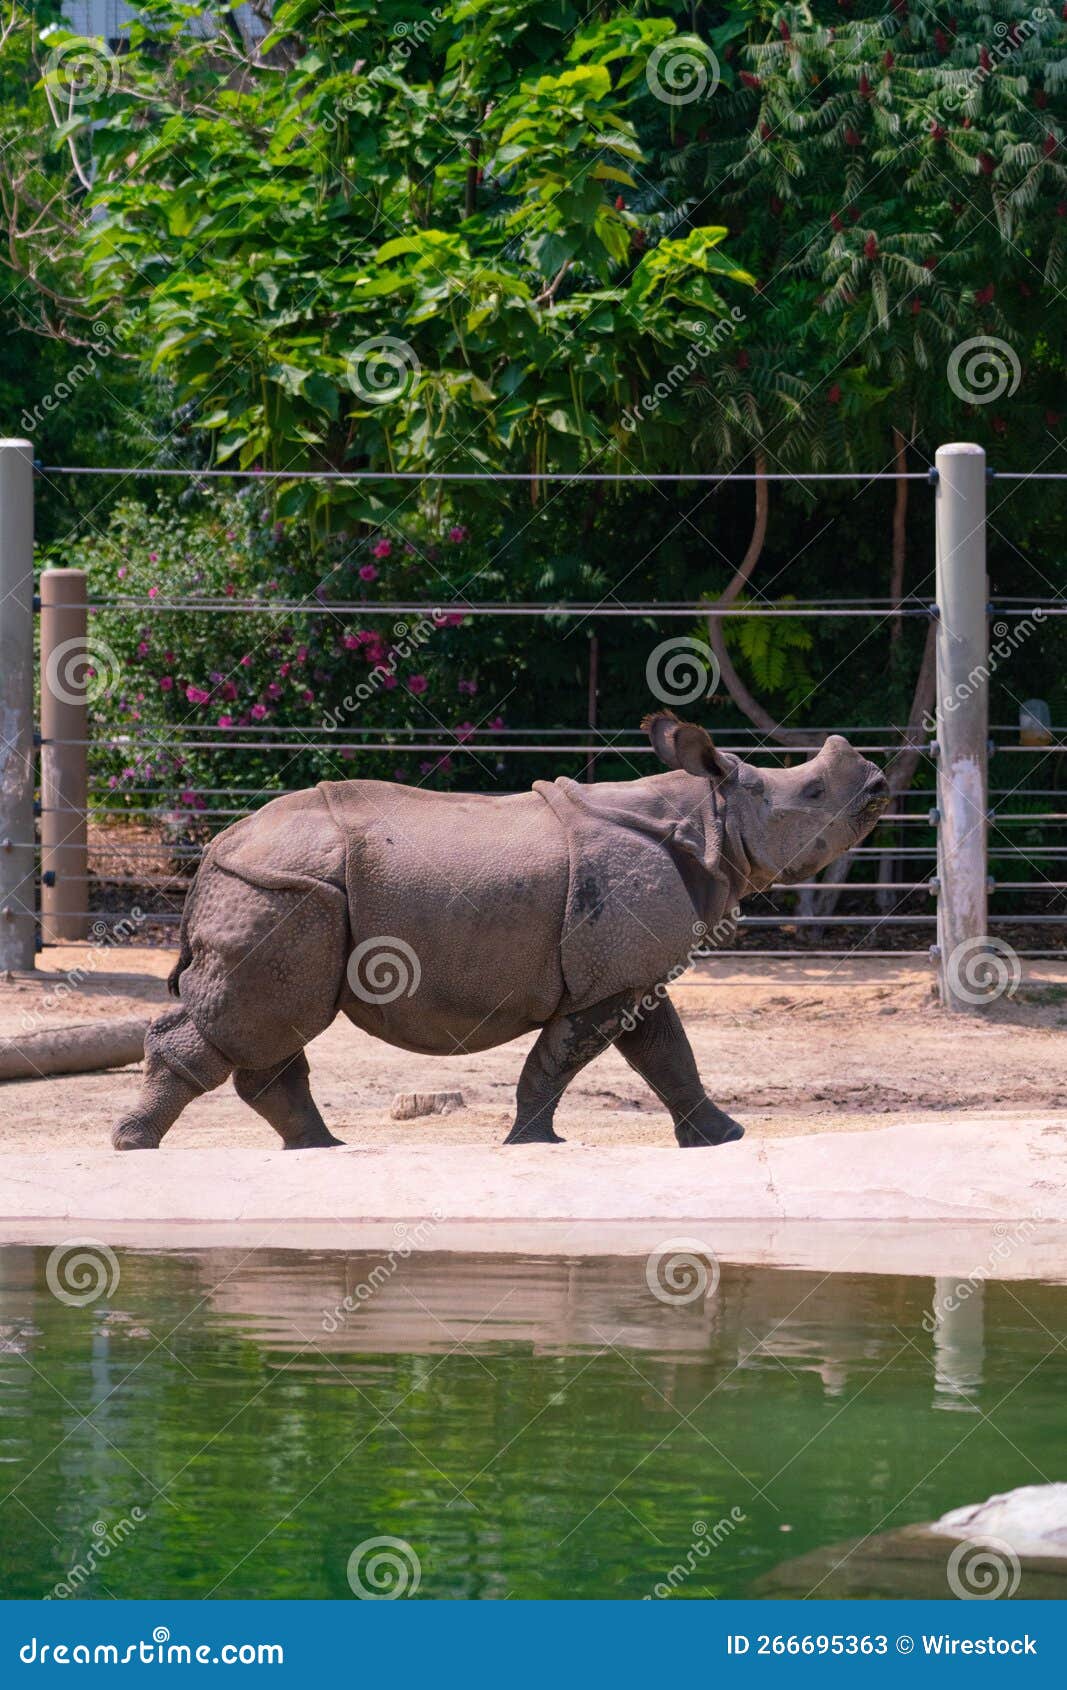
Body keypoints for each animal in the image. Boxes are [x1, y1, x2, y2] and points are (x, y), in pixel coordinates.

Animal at [112, 711, 889, 1152]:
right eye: (814, 792)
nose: (880, 781)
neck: (712, 817)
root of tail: (216, 847)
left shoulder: (629, 971)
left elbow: (667, 1055)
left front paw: (722, 1139)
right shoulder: (610, 980)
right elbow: (565, 1057)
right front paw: (533, 1143)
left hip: (284, 888)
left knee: (273, 1028)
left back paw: (321, 1149)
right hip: (282, 888)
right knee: (258, 1019)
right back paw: (134, 1145)